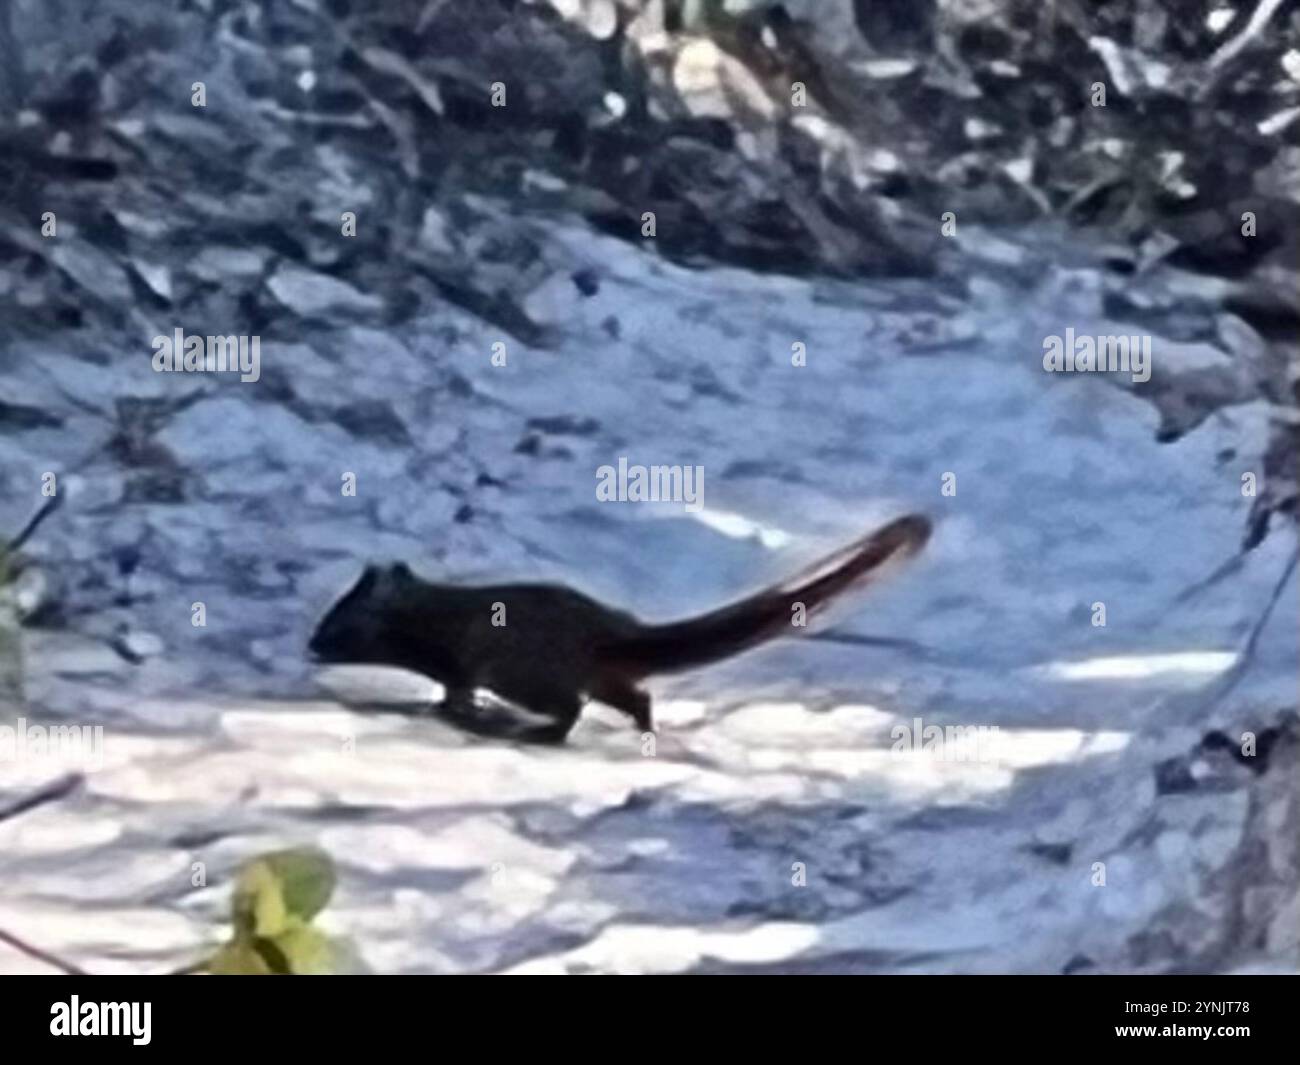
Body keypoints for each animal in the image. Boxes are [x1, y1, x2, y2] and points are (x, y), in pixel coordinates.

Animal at [309, 513, 932, 743]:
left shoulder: (467, 659)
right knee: (634, 694)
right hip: (600, 675)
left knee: (572, 708)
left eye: (336, 622)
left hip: (529, 673)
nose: (310, 646)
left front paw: (452, 710)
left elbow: (457, 689)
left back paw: (538, 730)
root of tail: (609, 627)